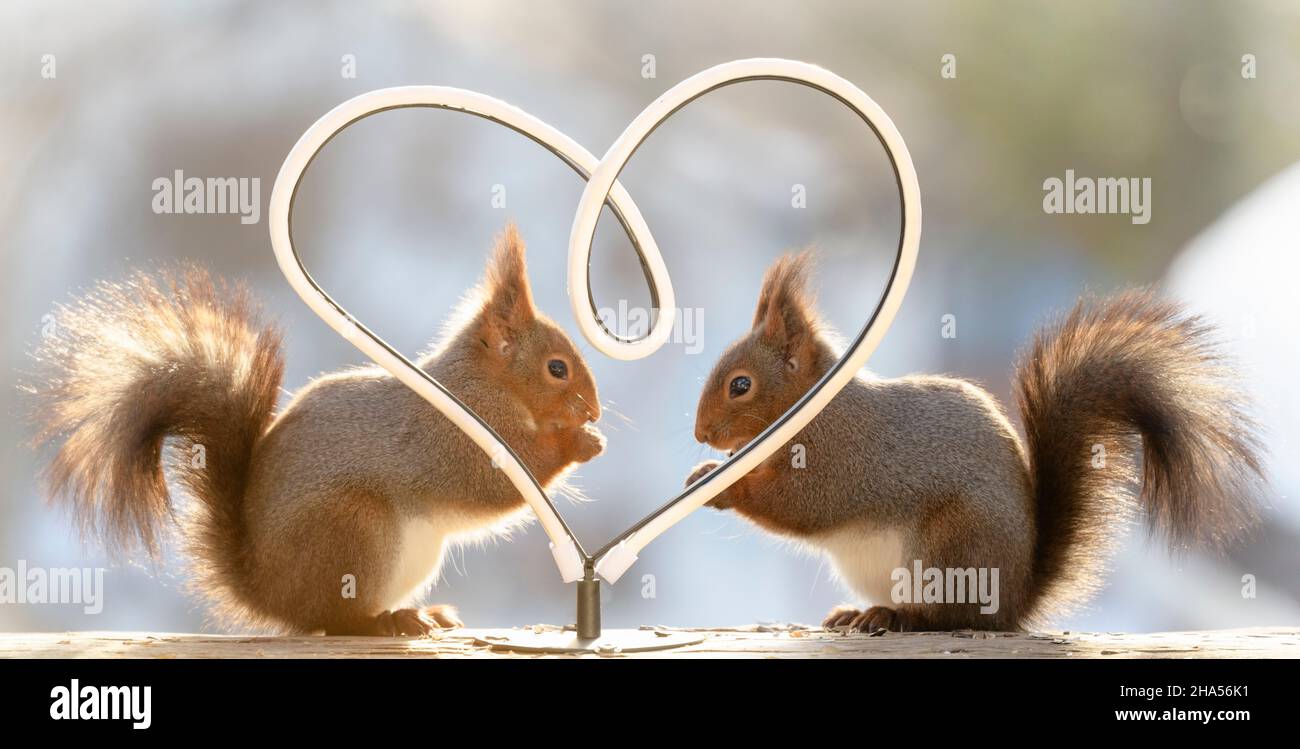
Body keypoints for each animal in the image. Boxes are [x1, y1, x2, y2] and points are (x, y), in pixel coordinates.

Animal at [28, 223, 606, 635]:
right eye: (557, 368)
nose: (595, 412)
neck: (480, 386)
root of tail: (266, 589)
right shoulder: (449, 438)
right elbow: (495, 482)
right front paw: (576, 443)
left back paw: (426, 613)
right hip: (355, 528)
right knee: (333, 620)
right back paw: (388, 621)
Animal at [687, 251, 1265, 632]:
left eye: (741, 385)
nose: (700, 434)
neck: (815, 410)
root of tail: (1014, 600)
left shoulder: (842, 458)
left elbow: (801, 504)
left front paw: (721, 484)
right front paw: (708, 471)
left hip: (950, 549)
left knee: (950, 616)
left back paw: (897, 616)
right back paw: (857, 612)